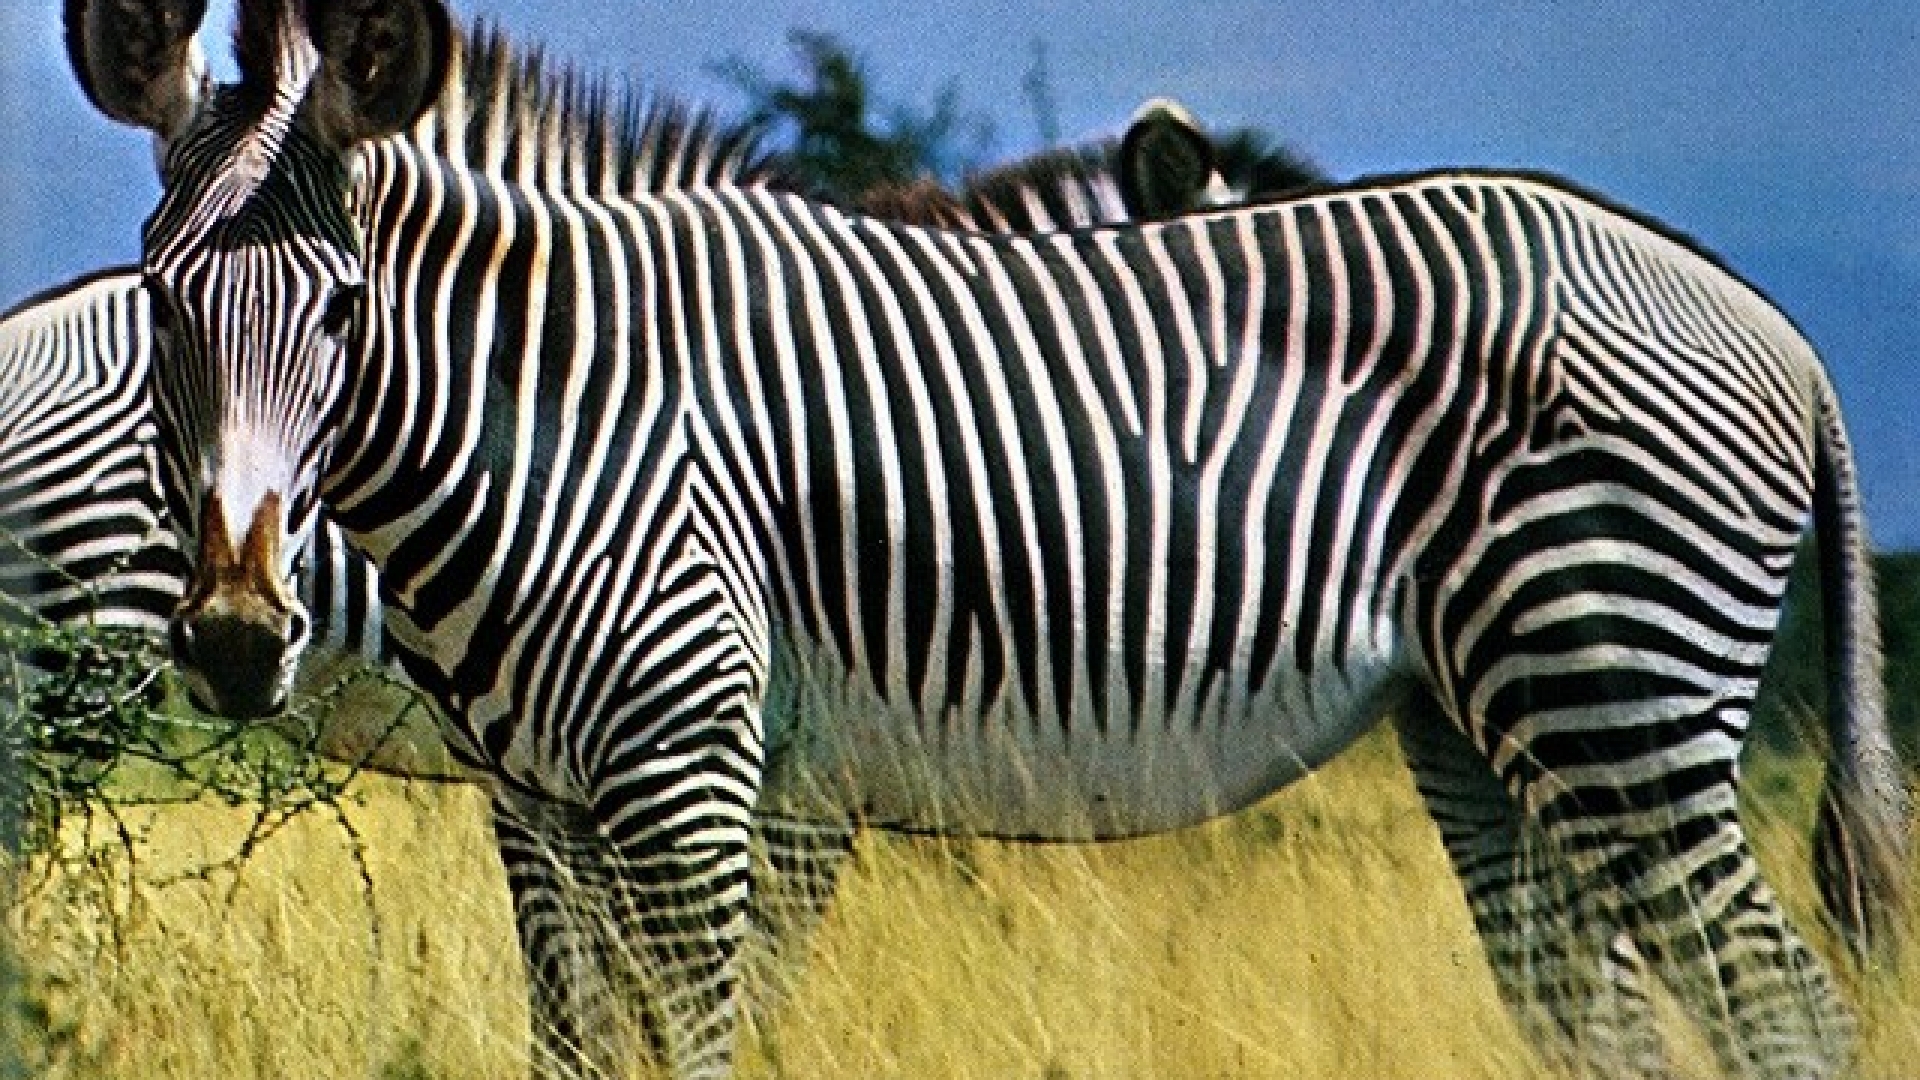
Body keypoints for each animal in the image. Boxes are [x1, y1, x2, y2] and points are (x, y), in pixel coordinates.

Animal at [63, 1, 1908, 1078]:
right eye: (160, 299)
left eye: (343, 307)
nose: (234, 636)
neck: (569, 407)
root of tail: (1782, 326)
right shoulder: (551, 802)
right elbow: (587, 1050)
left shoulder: (715, 774)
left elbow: (707, 1039)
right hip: (1491, 730)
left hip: (1613, 686)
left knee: (1783, 1010)